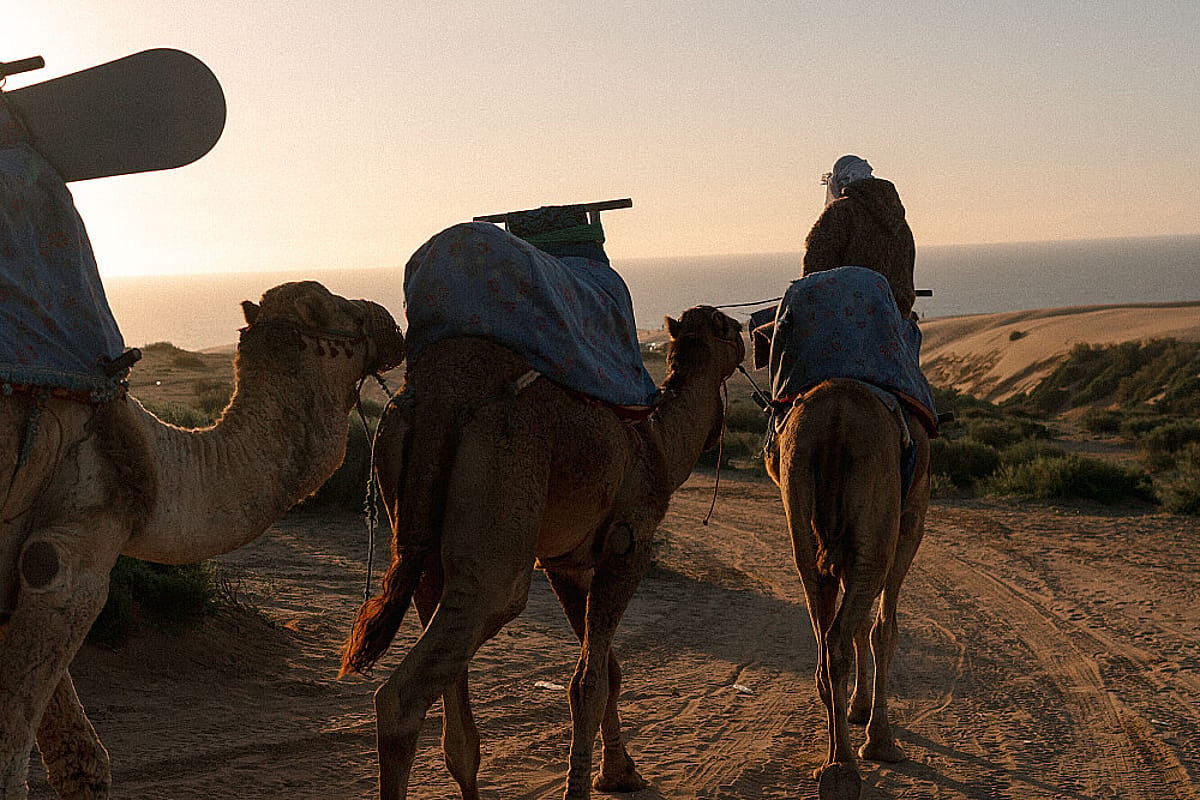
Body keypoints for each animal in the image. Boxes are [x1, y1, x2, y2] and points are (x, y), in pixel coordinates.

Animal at [0, 280, 405, 800]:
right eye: (334, 308)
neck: (157, 460)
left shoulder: (18, 563)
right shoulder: (72, 552)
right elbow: (10, 762)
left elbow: (81, 761)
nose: (390, 321)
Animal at [340, 305, 745, 800]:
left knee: (446, 665)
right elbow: (589, 683)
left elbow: (609, 670)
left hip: (416, 530)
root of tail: (441, 397)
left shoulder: (565, 565)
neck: (661, 445)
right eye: (731, 328)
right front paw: (591, 782)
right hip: (503, 497)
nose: (752, 335)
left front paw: (621, 772)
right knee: (410, 689)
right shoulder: (628, 545)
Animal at [765, 378, 931, 800]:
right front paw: (880, 740)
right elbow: (883, 631)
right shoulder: (908, 527)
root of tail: (836, 422)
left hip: (801, 513)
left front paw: (857, 708)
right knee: (840, 637)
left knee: (826, 639)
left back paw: (831, 762)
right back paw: (843, 769)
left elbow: (862, 625)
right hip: (880, 526)